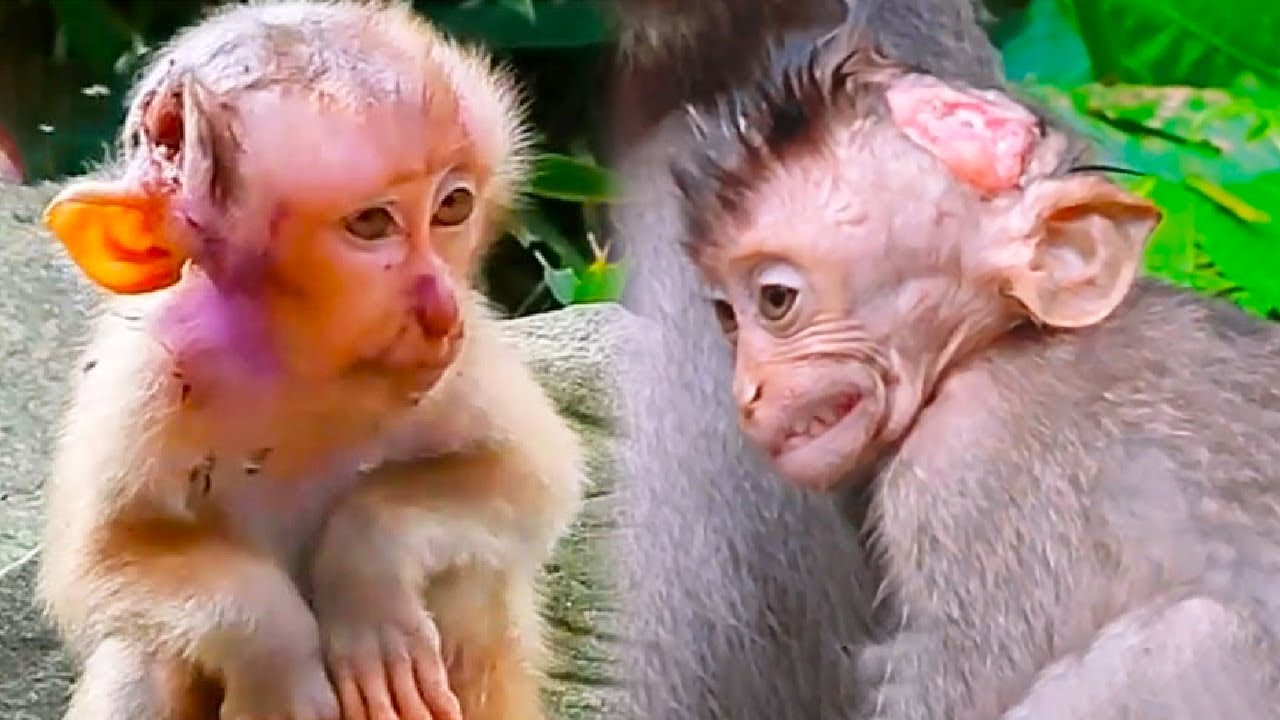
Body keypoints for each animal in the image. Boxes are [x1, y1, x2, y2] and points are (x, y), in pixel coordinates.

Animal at [35, 3, 584, 719]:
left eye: (453, 206)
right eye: (372, 224)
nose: (440, 305)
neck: (301, 364)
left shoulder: (457, 365)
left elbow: (531, 473)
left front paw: (366, 571)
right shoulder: (140, 375)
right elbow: (105, 558)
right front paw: (276, 659)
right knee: (146, 655)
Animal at [673, 32, 1280, 720]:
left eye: (775, 299)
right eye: (728, 316)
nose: (746, 392)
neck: (1001, 339)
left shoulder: (965, 467)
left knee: (1194, 634)